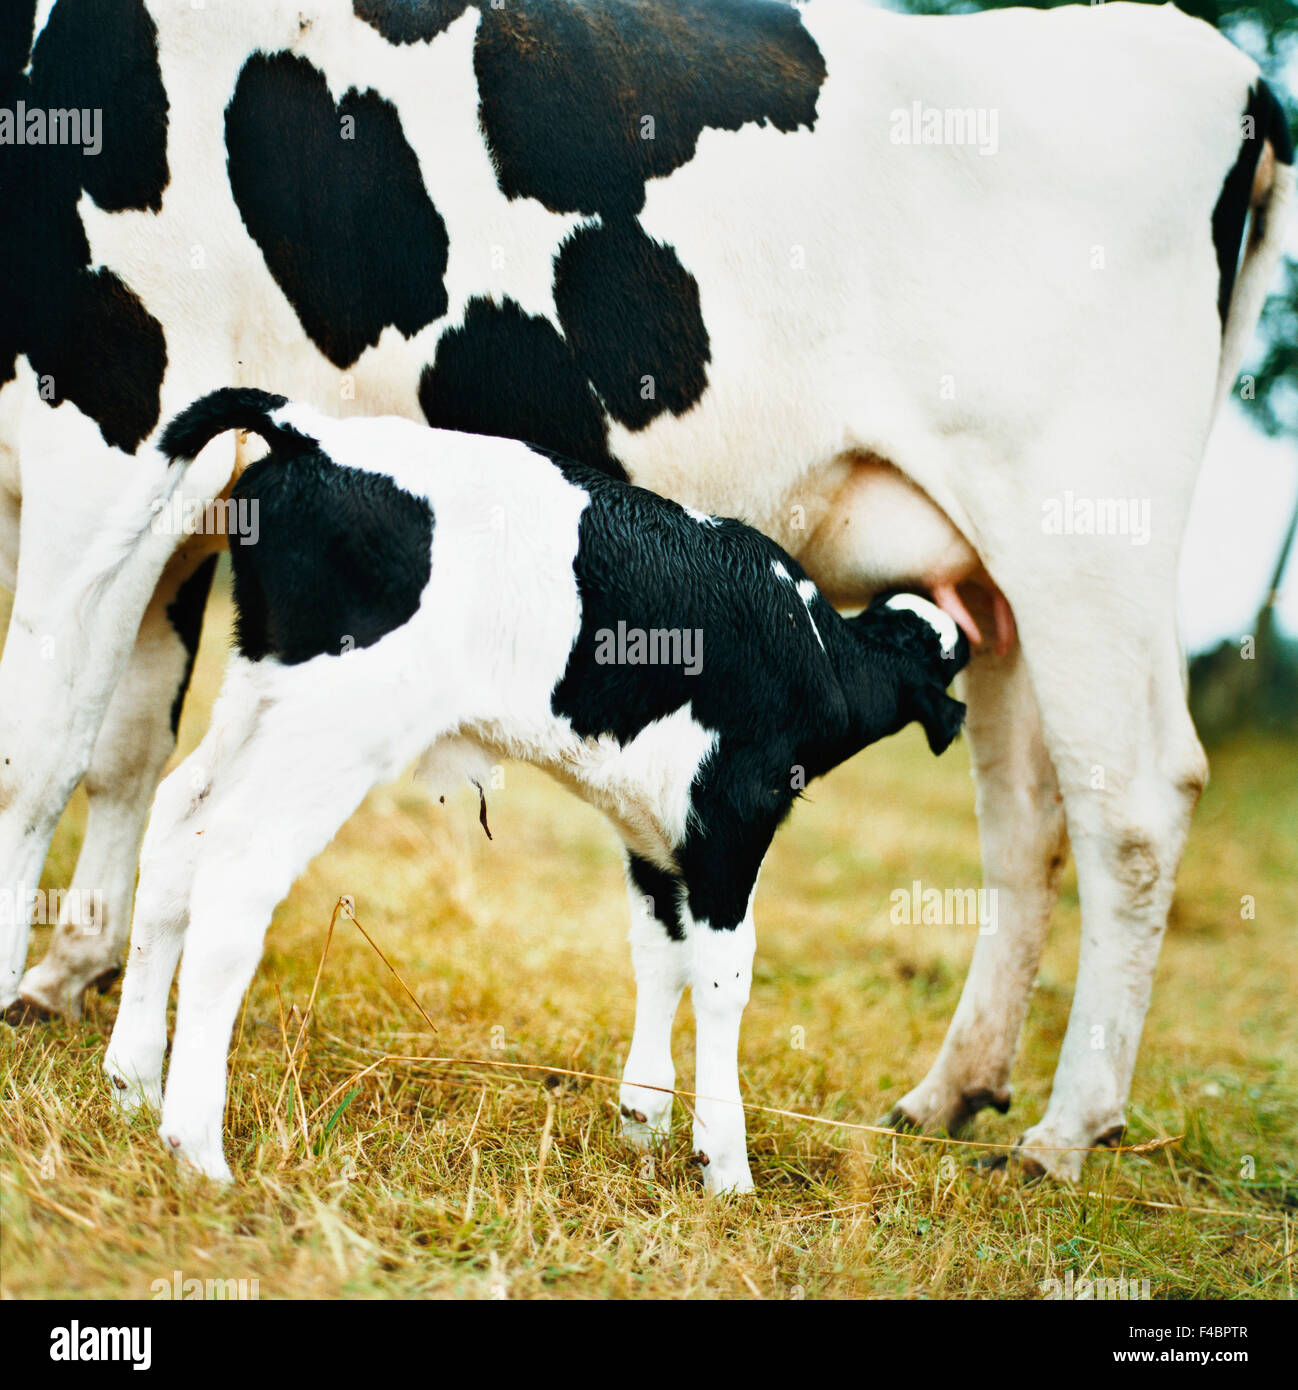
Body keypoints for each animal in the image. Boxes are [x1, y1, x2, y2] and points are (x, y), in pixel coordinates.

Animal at [0, 0, 1292, 1180]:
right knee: (1027, 814)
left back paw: (1062, 1131)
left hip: (1082, 536)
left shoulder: (104, 411)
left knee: (1129, 802)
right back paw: (950, 1094)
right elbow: (115, 743)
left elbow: (40, 747)